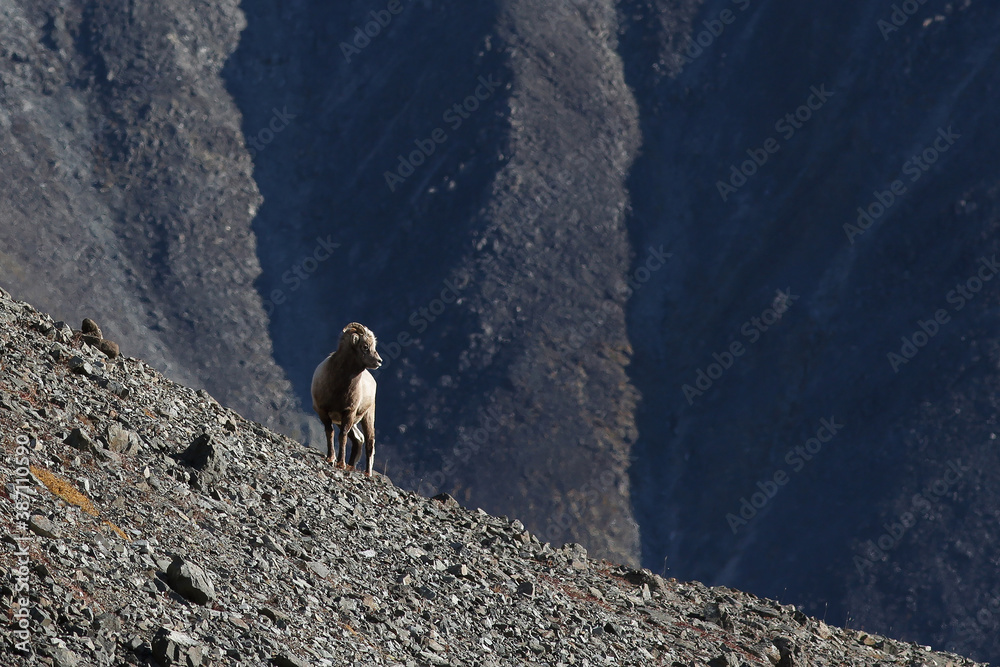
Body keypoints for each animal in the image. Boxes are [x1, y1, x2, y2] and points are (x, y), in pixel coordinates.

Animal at [310, 322, 382, 475]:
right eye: (365, 346)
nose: (379, 361)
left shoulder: (348, 413)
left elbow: (342, 436)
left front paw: (340, 464)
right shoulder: (323, 412)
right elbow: (330, 433)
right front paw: (331, 459)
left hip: (367, 416)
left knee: (369, 442)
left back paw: (367, 473)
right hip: (352, 421)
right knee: (358, 439)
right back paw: (351, 466)